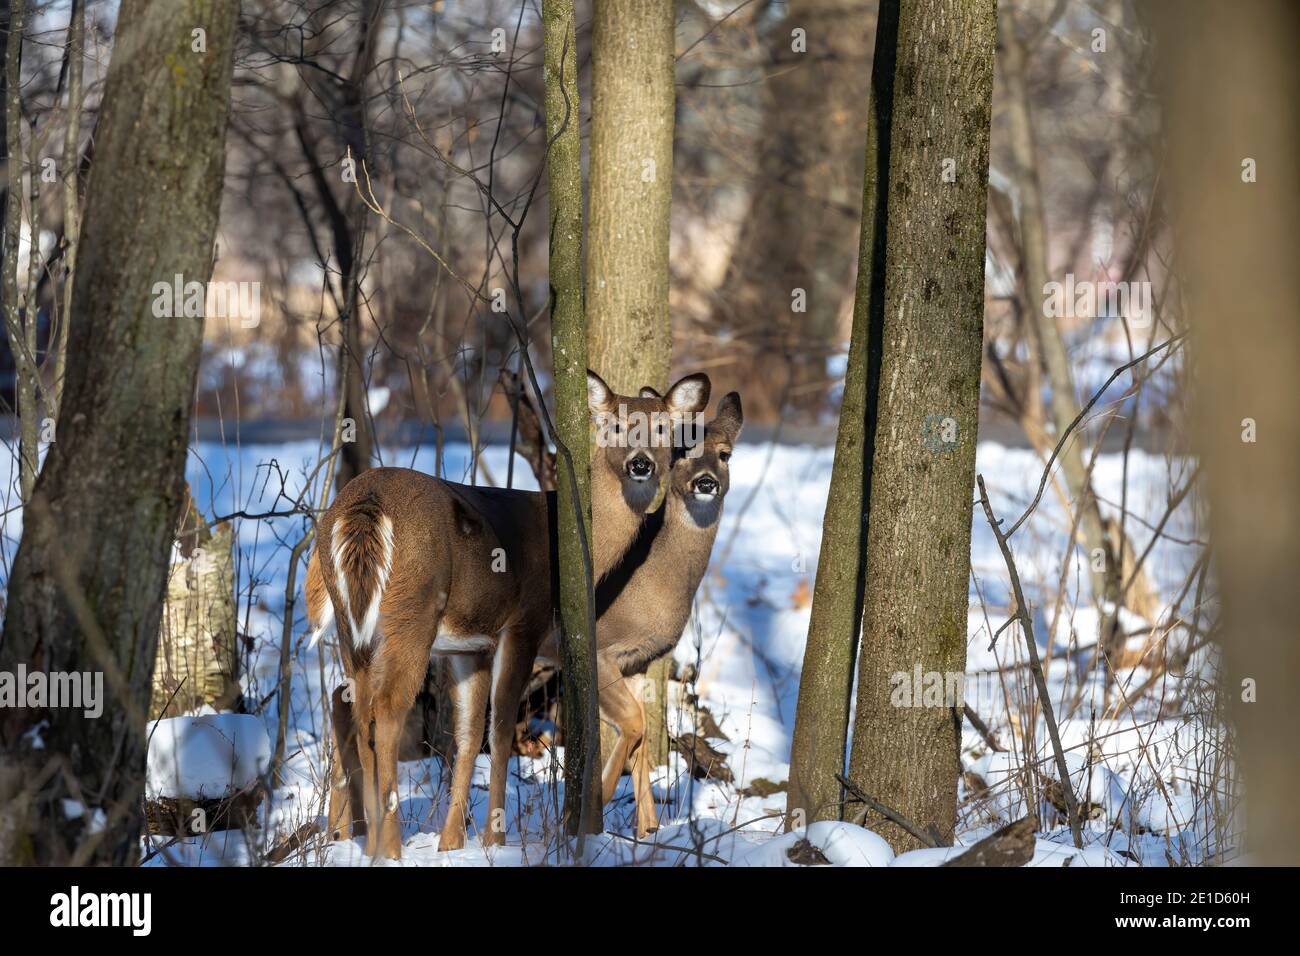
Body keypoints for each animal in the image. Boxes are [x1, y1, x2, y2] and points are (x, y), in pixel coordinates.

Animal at [305, 370, 710, 859]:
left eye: (663, 429)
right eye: (615, 426)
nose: (640, 464)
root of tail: (362, 508)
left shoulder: (471, 645)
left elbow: (466, 736)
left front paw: (452, 843)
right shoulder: (524, 622)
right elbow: (499, 729)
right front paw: (494, 838)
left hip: (354, 629)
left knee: (352, 705)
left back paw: (363, 843)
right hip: (409, 617)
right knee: (383, 713)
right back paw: (390, 847)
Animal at [540, 391, 744, 838]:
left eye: (726, 454)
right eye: (681, 452)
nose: (707, 482)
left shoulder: (639, 660)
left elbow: (644, 733)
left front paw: (648, 830)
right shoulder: (597, 647)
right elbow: (633, 724)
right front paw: (592, 811)